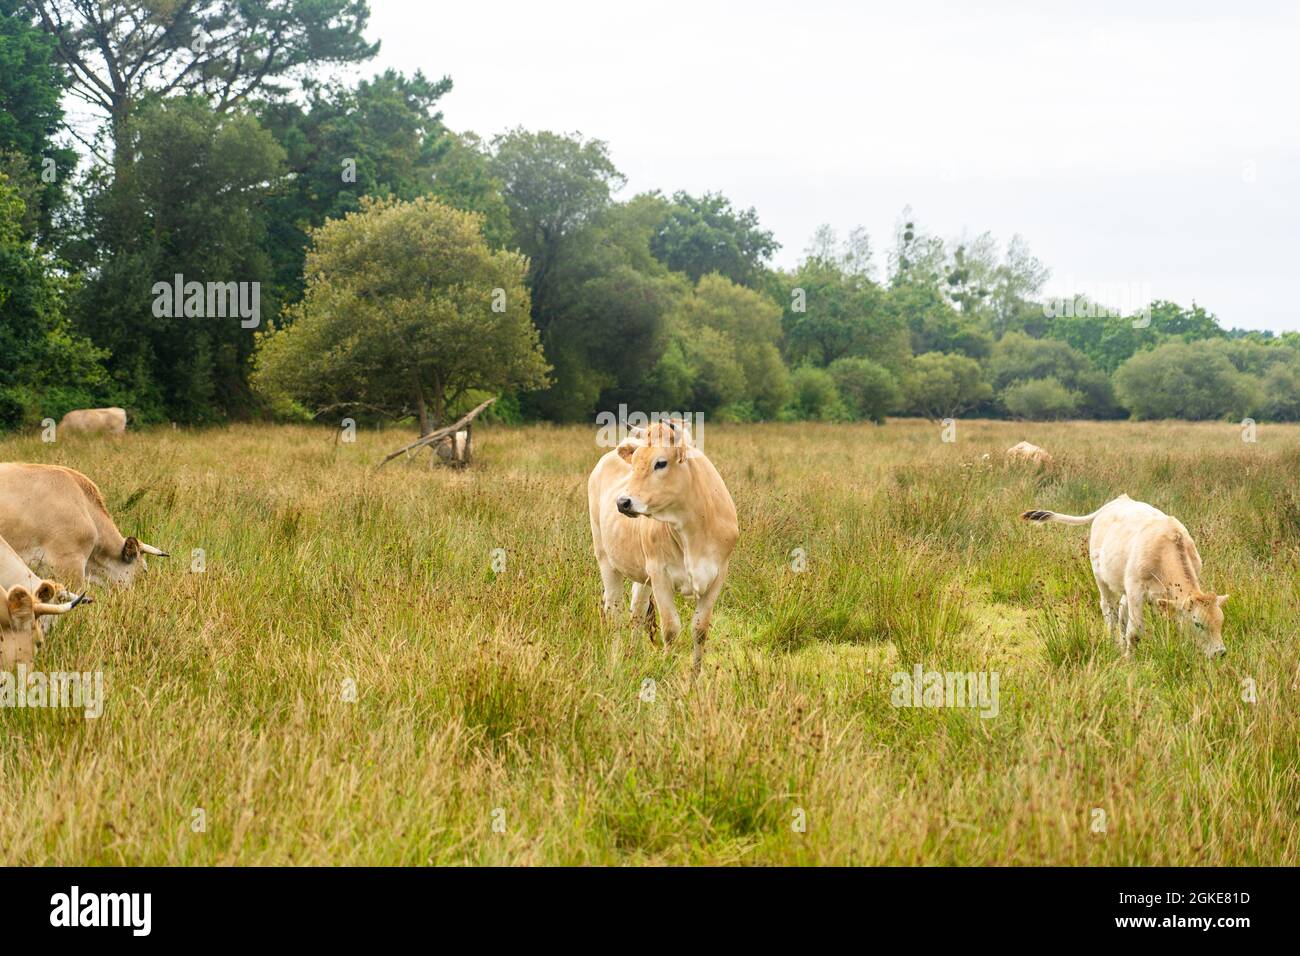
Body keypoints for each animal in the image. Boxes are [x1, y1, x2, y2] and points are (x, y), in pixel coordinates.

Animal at [588, 421, 737, 675]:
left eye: (660, 463)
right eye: (635, 462)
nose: (623, 502)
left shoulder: (717, 576)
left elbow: (700, 629)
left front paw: (695, 676)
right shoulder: (660, 574)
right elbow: (671, 629)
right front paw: (666, 668)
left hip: (641, 574)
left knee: (636, 611)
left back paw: (632, 655)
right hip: (606, 559)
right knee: (615, 612)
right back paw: (616, 661)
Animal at [1022, 494, 1227, 657]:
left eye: (1221, 622)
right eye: (1198, 624)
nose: (1220, 653)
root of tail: (1117, 501)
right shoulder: (1136, 590)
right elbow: (1135, 632)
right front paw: (1129, 659)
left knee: (1121, 611)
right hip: (1101, 578)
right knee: (1109, 609)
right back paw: (1113, 643)